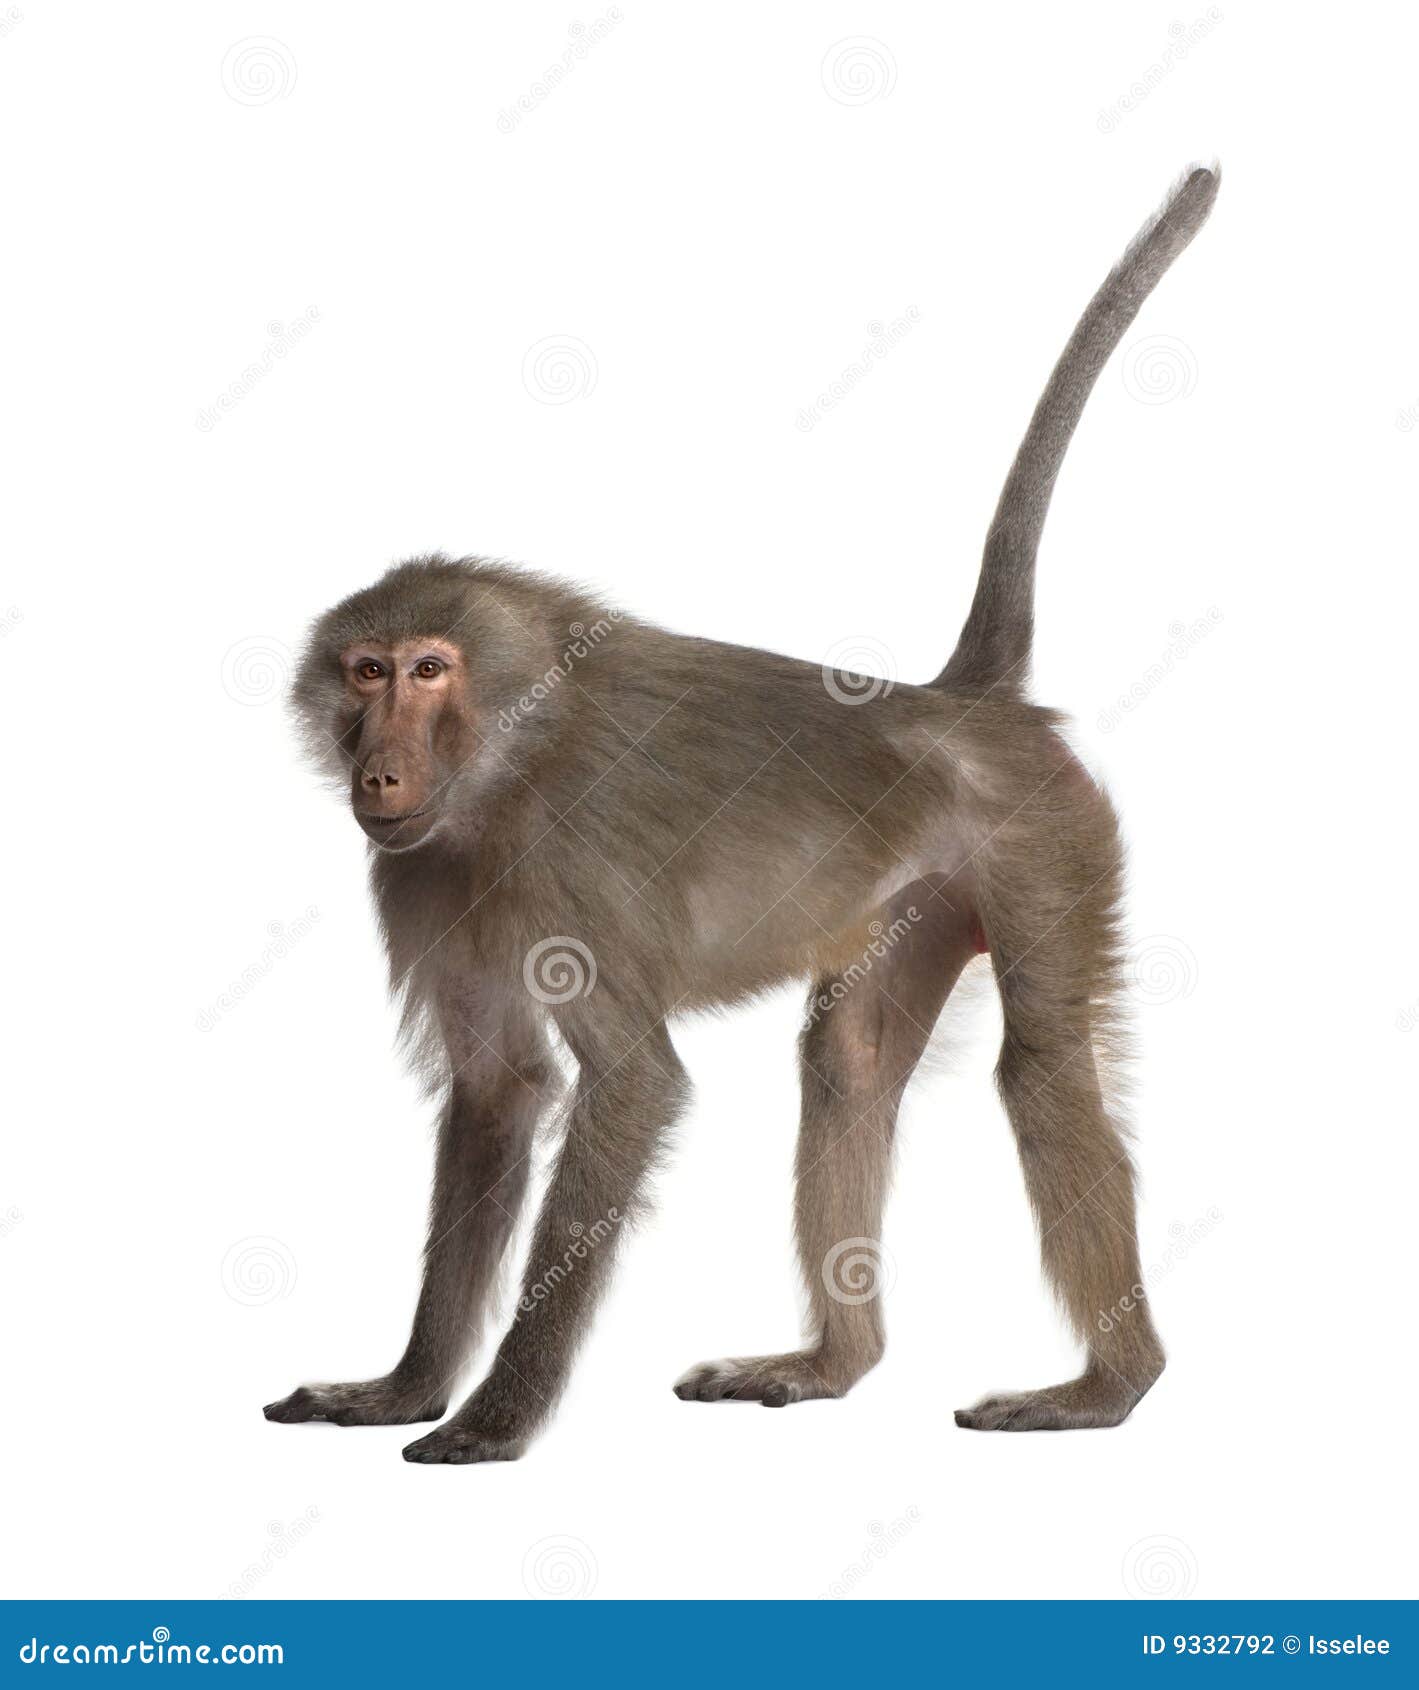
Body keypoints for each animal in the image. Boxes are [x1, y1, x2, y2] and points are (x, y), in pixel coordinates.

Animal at [263, 166, 1219, 1461]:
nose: (379, 774)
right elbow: (499, 1091)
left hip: (1046, 837)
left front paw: (496, 1420)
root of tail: (958, 703)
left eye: (426, 670)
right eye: (364, 673)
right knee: (847, 1066)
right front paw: (408, 1386)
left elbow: (630, 1086)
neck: (508, 763)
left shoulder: (565, 864)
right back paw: (834, 1364)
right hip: (914, 895)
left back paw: (1109, 1385)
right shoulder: (425, 877)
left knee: (1042, 1068)